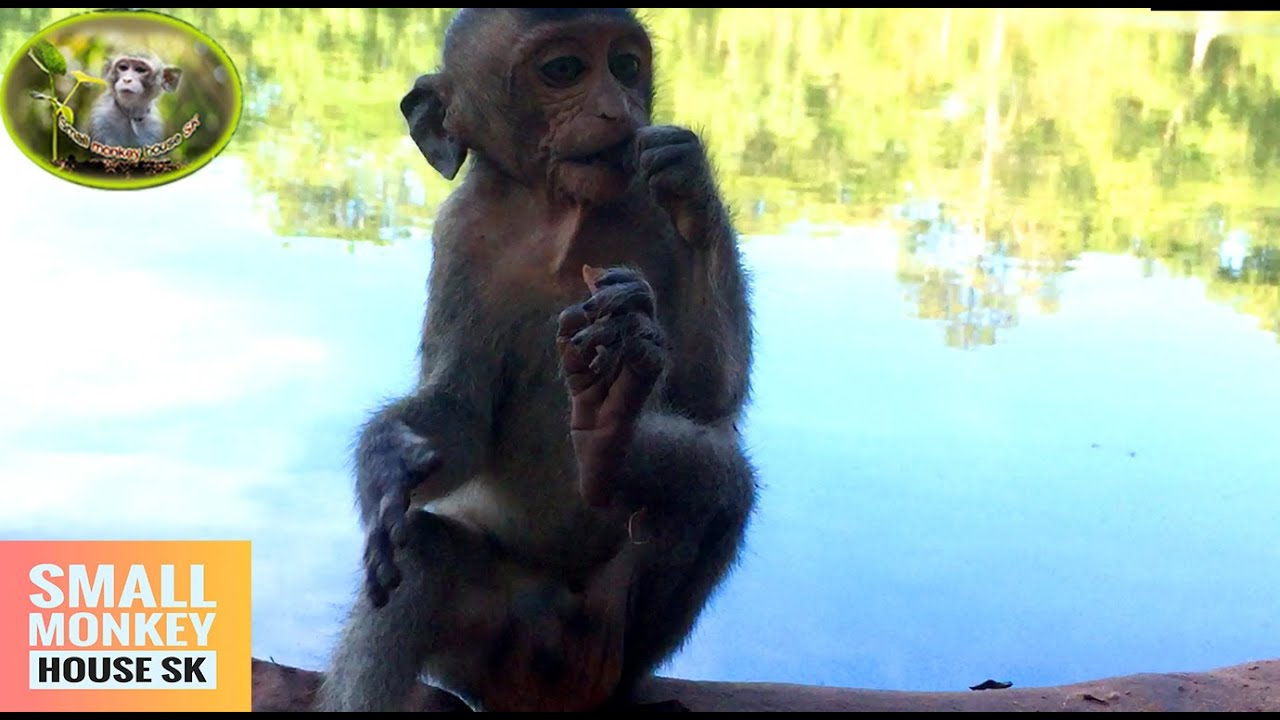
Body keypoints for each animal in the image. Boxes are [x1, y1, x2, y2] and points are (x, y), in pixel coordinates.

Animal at [317, 7, 757, 713]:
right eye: (564, 69)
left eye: (625, 65)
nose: (616, 108)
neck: (559, 216)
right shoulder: (461, 236)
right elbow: (460, 419)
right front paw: (387, 462)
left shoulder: (641, 205)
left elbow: (710, 394)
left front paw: (690, 183)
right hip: (482, 650)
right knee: (419, 558)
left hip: (606, 636)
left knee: (716, 482)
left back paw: (611, 441)